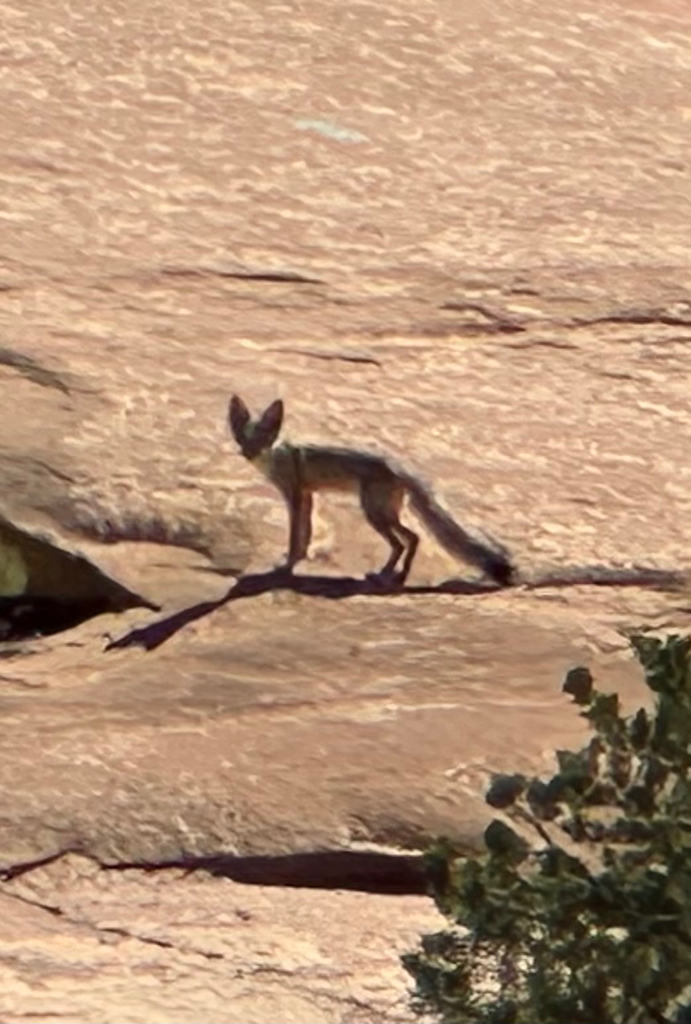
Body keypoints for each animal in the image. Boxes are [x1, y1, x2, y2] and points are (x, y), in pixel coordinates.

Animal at [228, 395, 514, 587]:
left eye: (263, 438)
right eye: (243, 438)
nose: (247, 454)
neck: (278, 456)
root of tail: (398, 465)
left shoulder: (295, 496)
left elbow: (295, 534)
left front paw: (287, 565)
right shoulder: (308, 495)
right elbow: (306, 533)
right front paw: (298, 558)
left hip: (374, 514)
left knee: (401, 542)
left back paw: (384, 574)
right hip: (386, 514)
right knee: (414, 538)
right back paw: (399, 575)